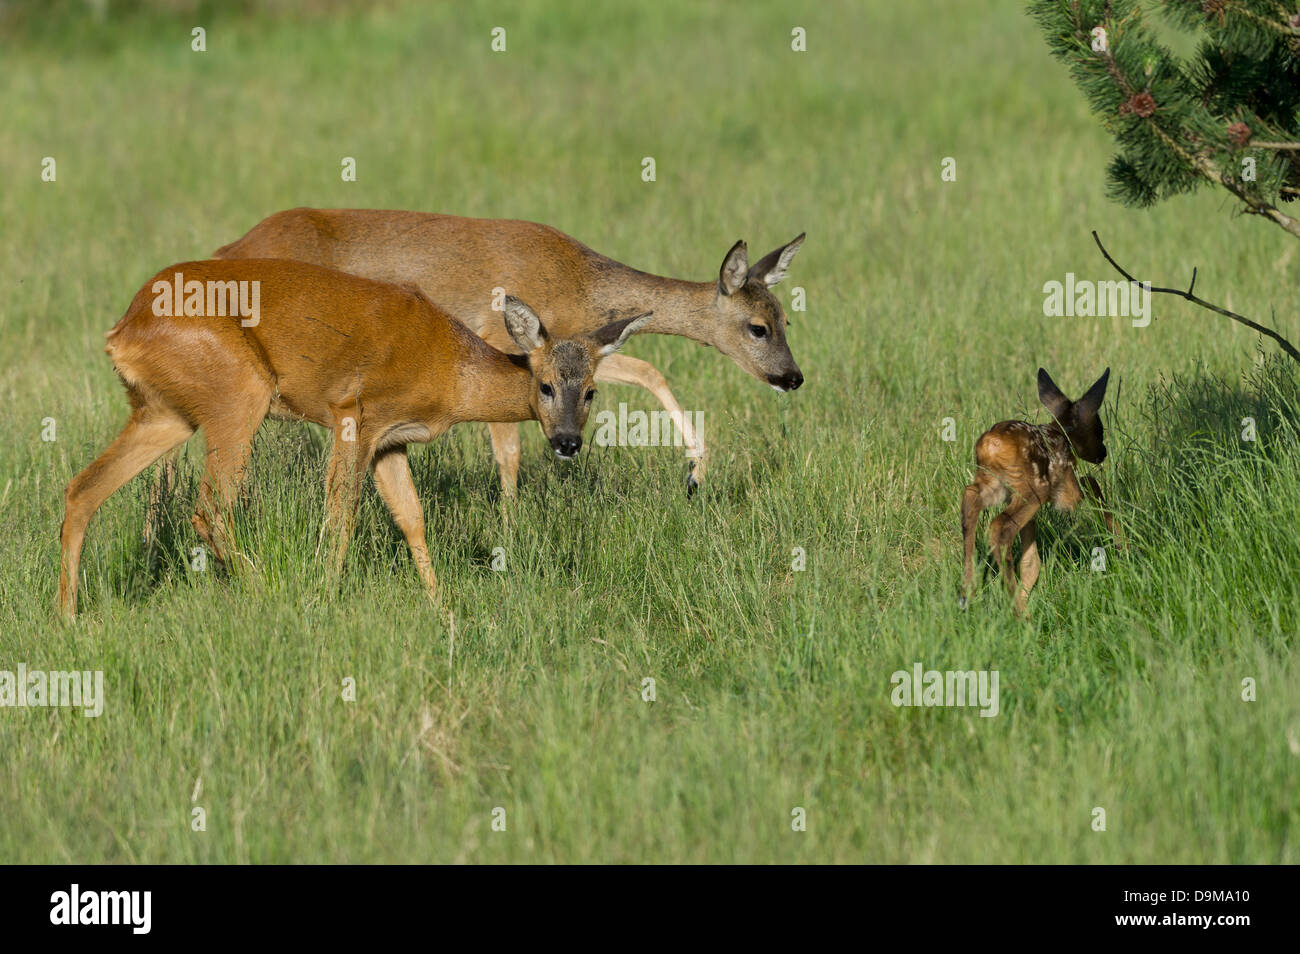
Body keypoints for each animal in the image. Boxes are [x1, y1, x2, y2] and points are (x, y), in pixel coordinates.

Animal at [57, 258, 649, 618]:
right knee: (209, 509)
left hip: (165, 412)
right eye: (545, 385)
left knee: (82, 488)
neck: (453, 372)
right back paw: (266, 590)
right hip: (240, 391)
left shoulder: (392, 440)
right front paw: (325, 597)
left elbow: (412, 518)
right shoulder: (354, 413)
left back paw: (69, 618)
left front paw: (443, 610)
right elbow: (342, 512)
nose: (568, 442)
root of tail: (122, 332)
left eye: (591, 391)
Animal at [211, 209, 806, 496]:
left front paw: (694, 475)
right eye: (757, 327)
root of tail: (227, 248)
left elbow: (647, 368)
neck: (582, 284)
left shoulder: (580, 346)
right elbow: (509, 450)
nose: (793, 376)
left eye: (786, 318)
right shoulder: (504, 344)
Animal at [960, 368, 1122, 616]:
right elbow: (1089, 482)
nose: (1102, 452)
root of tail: (991, 444)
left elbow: (1031, 561)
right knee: (1000, 526)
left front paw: (1026, 590)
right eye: (1099, 428)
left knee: (970, 497)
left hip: (994, 484)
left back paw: (967, 592)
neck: (1064, 436)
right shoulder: (1066, 492)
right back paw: (1018, 612)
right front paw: (1120, 540)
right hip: (1034, 488)